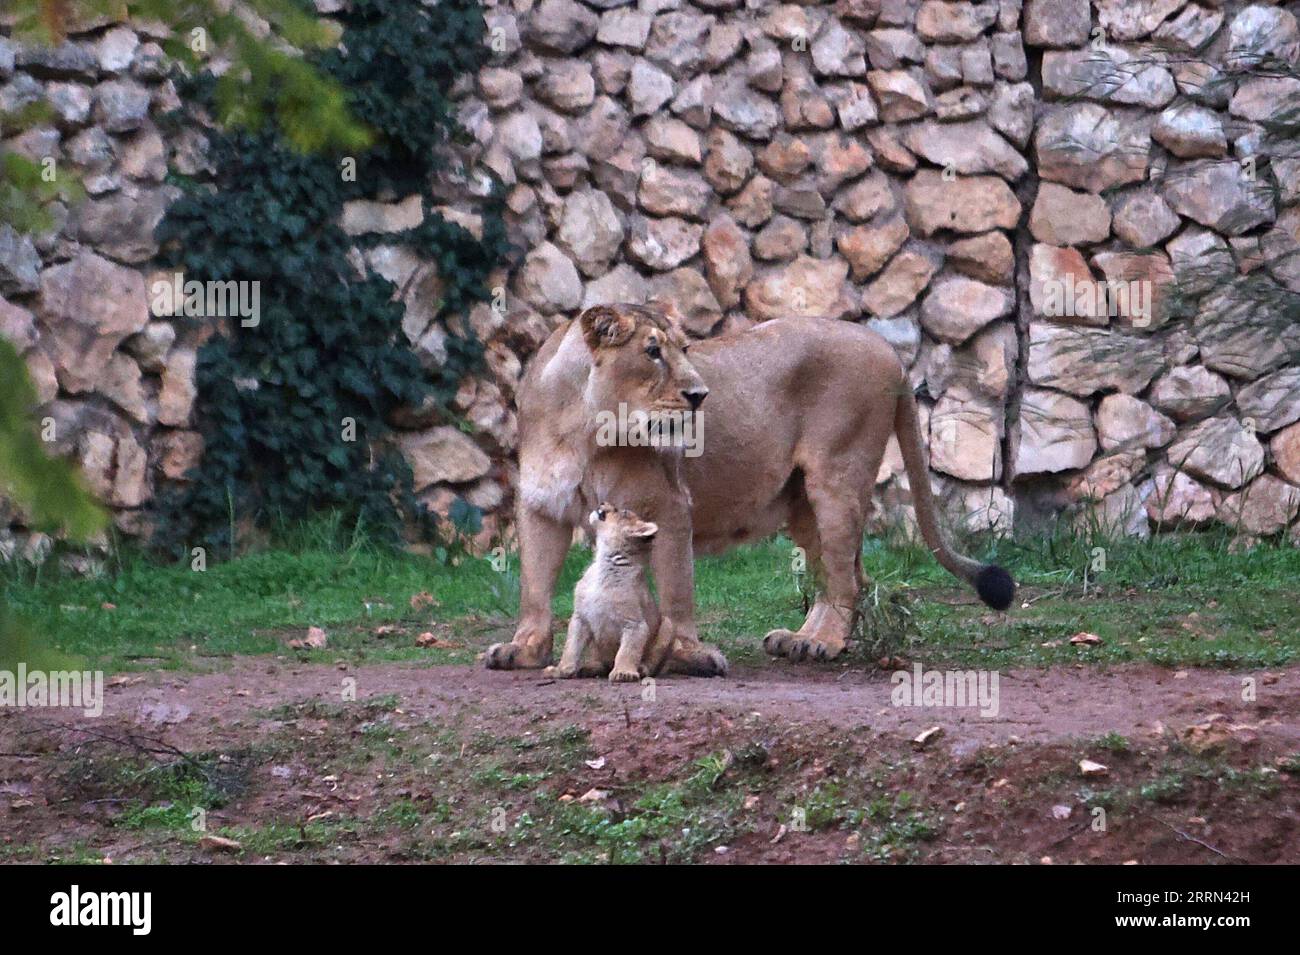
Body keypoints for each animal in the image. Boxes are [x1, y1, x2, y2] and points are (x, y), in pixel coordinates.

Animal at [547, 502, 660, 682]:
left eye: (624, 512)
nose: (603, 503)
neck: (604, 561)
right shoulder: (580, 617)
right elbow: (571, 646)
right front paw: (562, 669)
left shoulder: (635, 623)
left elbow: (627, 650)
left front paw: (623, 672)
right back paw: (589, 668)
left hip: (668, 625)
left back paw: (641, 669)